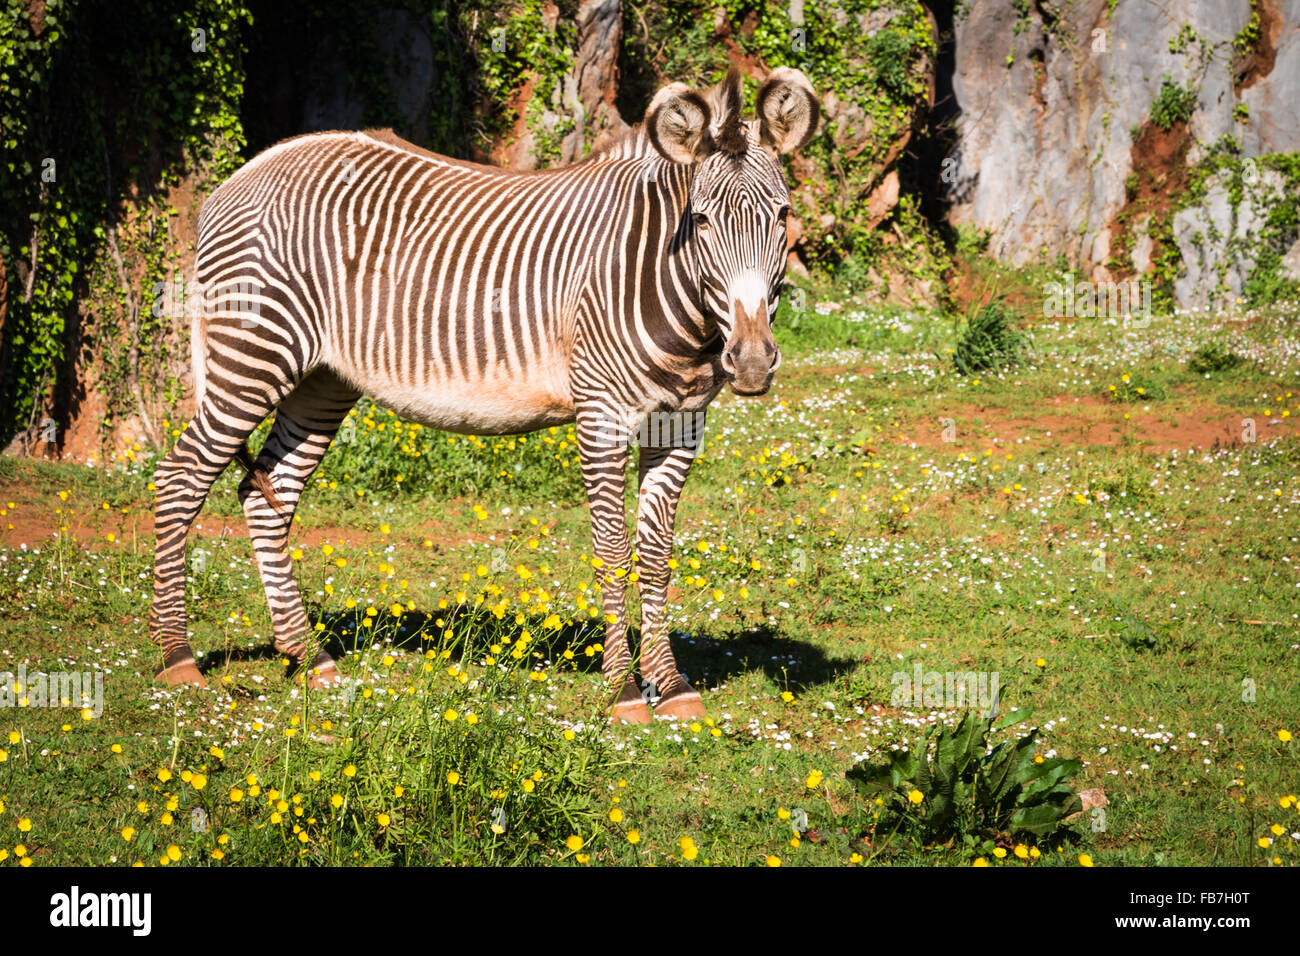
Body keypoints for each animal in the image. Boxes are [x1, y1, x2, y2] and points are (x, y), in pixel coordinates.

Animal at [150, 67, 820, 724]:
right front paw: (624, 691)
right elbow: (611, 548)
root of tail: (244, 173)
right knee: (180, 476)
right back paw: (176, 659)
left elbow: (656, 554)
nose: (752, 361)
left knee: (268, 493)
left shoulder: (679, 424)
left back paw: (307, 655)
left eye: (783, 215)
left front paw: (673, 685)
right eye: (701, 221)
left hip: (321, 379)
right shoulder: (601, 415)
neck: (660, 278)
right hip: (252, 353)